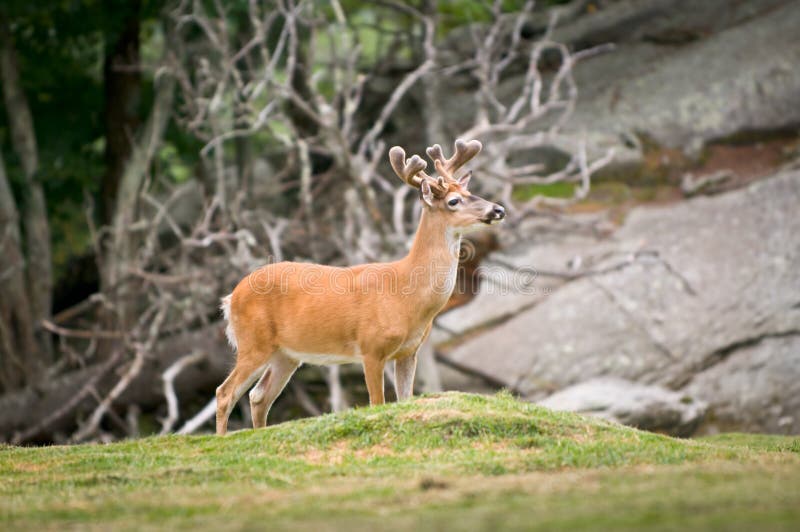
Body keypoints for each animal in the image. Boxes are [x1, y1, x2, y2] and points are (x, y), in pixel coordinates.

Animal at [215, 139, 505, 434]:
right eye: (453, 201)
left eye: (470, 190)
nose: (498, 210)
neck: (406, 294)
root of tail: (231, 297)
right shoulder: (371, 348)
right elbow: (377, 403)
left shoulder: (409, 352)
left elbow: (406, 399)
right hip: (253, 342)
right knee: (225, 392)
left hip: (286, 354)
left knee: (258, 396)